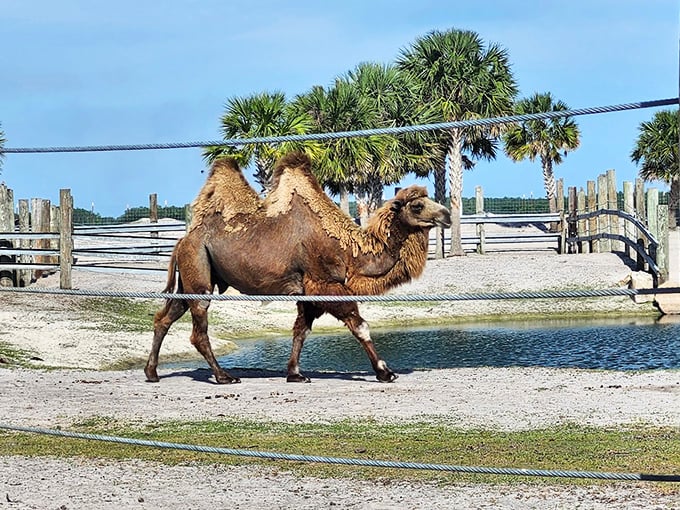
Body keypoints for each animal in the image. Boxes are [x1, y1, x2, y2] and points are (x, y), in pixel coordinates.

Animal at [145, 152, 451, 384]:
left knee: (166, 316)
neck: (350, 252)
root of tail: (183, 240)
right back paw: (224, 377)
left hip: (190, 276)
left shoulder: (307, 292)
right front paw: (385, 372)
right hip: (198, 267)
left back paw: (152, 372)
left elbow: (300, 330)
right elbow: (359, 325)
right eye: (418, 205)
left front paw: (295, 374)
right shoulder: (323, 284)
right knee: (199, 327)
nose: (446, 214)